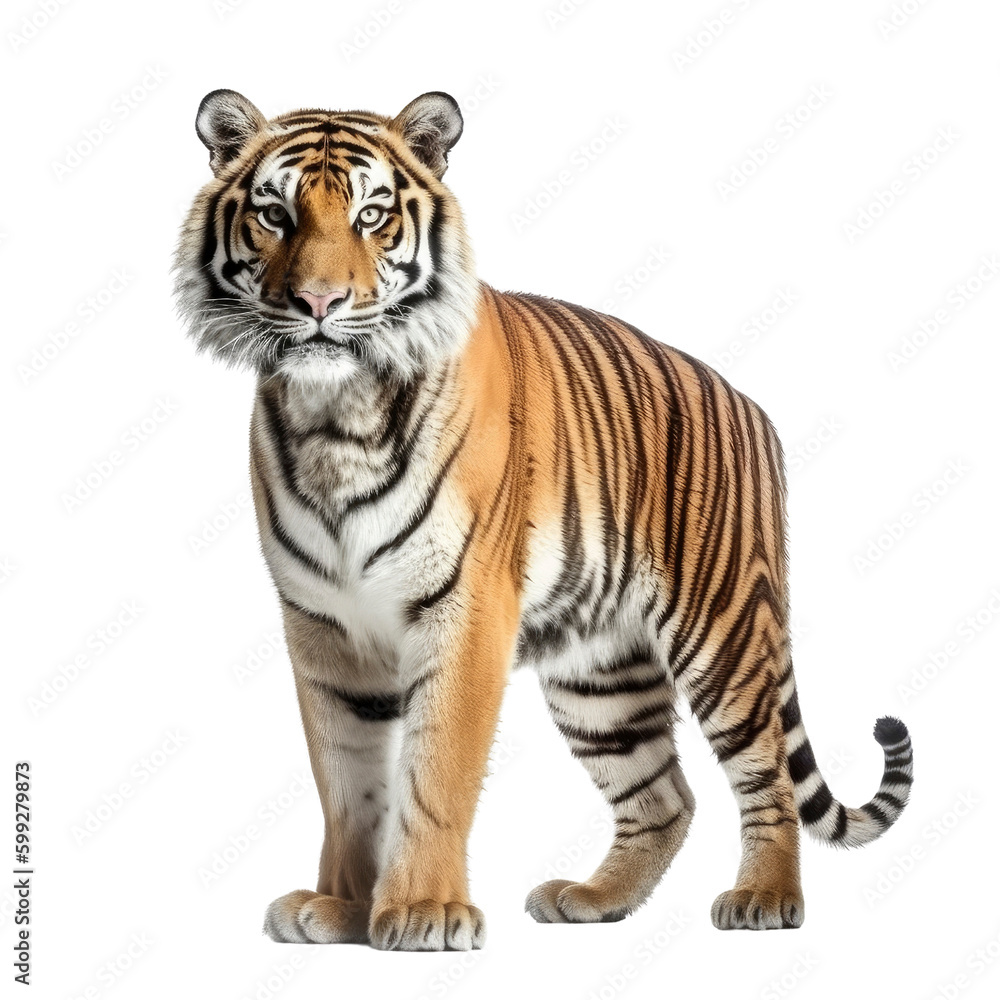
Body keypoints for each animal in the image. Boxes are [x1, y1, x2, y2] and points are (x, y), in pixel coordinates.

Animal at [174, 89, 914, 951]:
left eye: (371, 216)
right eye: (275, 214)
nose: (319, 303)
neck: (335, 414)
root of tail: (749, 405)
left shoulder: (465, 610)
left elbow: (436, 770)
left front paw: (423, 911)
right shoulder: (321, 628)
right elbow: (346, 783)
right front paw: (342, 907)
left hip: (723, 631)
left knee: (767, 777)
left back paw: (764, 898)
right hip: (601, 674)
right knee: (665, 797)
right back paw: (595, 899)